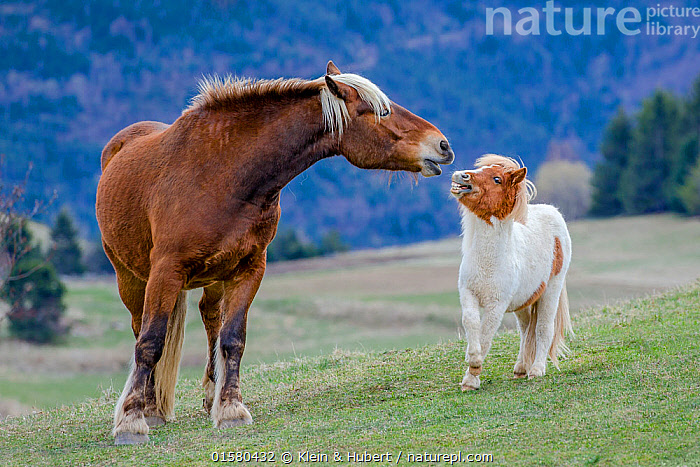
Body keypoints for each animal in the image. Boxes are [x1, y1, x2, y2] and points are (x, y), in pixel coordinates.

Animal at [96, 61, 454, 445]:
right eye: (381, 111)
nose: (443, 145)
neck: (222, 174)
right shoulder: (167, 271)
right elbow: (151, 342)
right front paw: (131, 422)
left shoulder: (250, 268)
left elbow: (232, 339)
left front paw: (231, 409)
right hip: (131, 279)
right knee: (140, 328)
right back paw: (150, 406)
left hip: (214, 277)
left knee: (210, 318)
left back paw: (208, 396)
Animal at [450, 155, 572, 391]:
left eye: (497, 179)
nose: (461, 175)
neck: (488, 262)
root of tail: (553, 212)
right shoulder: (467, 293)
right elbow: (471, 322)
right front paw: (471, 363)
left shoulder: (497, 305)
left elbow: (486, 334)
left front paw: (473, 373)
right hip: (523, 302)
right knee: (526, 330)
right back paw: (521, 368)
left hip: (551, 290)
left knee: (543, 329)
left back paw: (536, 370)